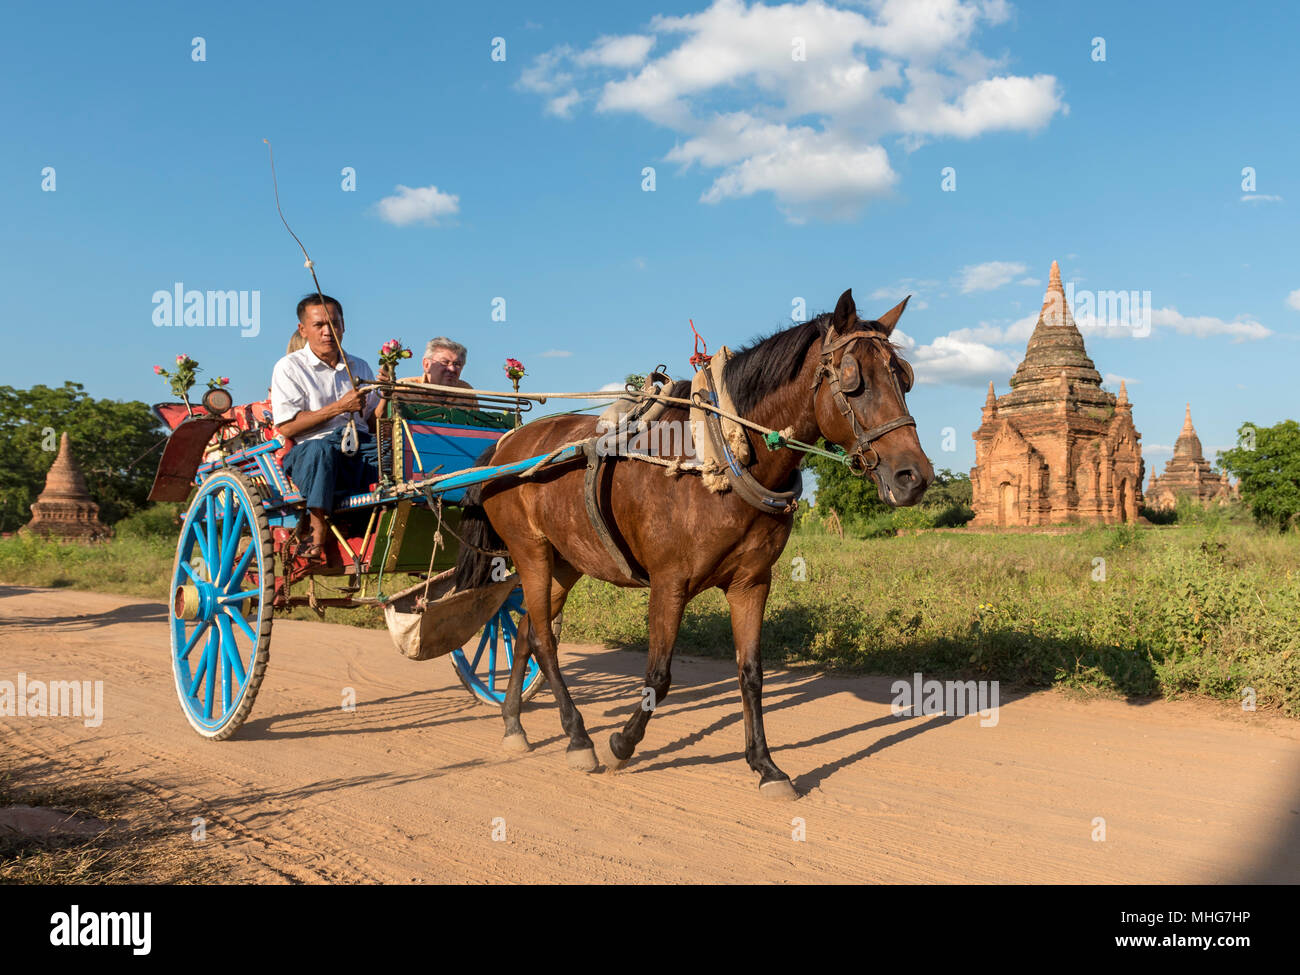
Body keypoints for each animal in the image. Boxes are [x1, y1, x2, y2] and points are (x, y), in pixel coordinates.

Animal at [452, 288, 933, 798]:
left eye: (904, 377)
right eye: (853, 378)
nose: (914, 476)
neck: (720, 454)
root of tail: (505, 445)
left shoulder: (751, 583)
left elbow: (751, 675)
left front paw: (765, 765)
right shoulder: (669, 583)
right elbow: (659, 676)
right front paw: (622, 743)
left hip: (567, 560)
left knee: (524, 631)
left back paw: (514, 724)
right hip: (531, 551)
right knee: (543, 638)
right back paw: (579, 737)